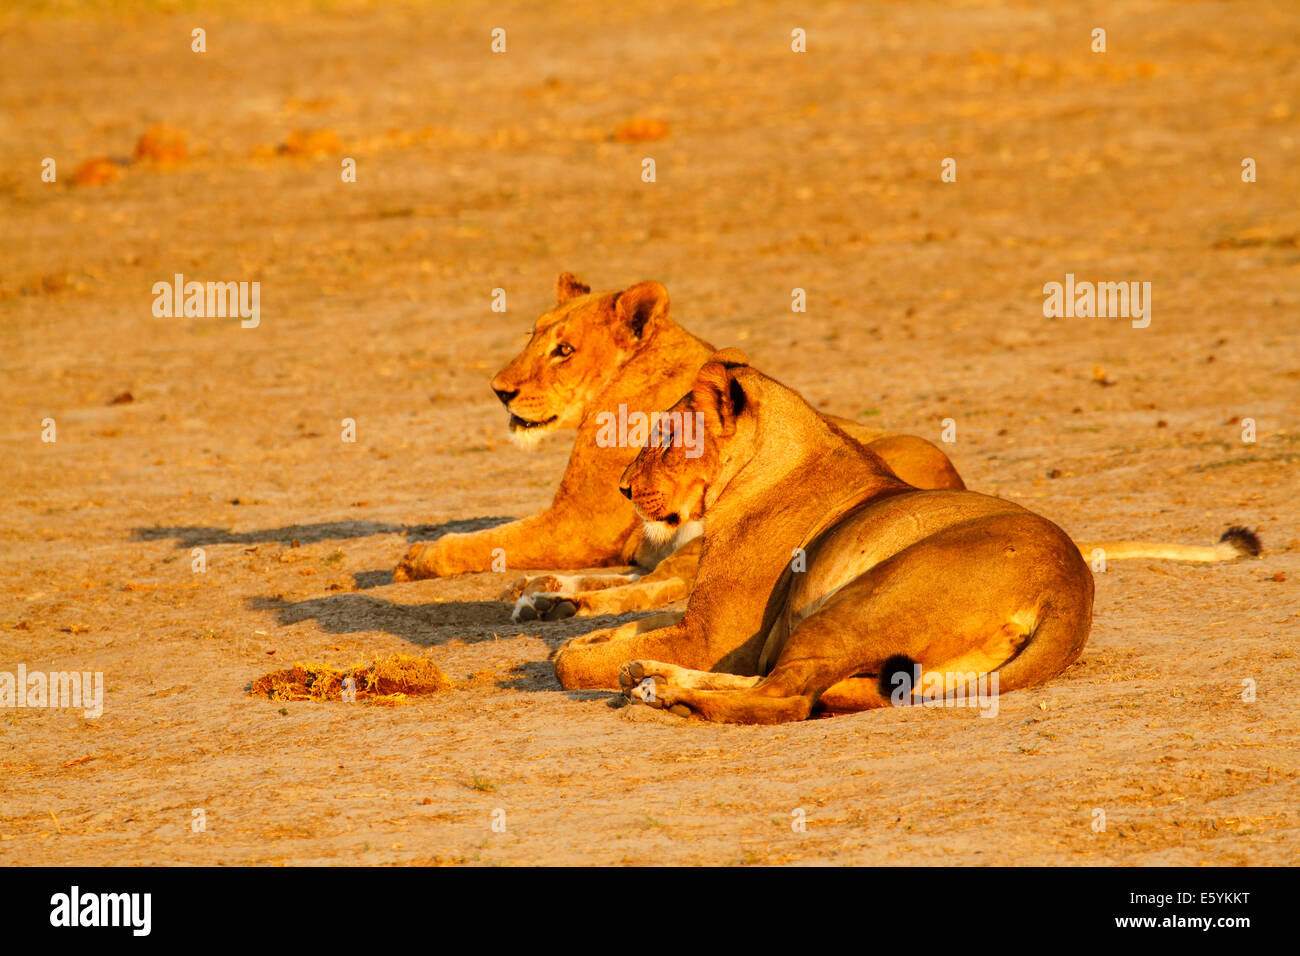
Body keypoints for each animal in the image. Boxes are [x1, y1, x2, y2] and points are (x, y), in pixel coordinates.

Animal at [392, 274, 964, 598]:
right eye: (532, 336)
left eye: (565, 351)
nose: (499, 391)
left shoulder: (576, 526)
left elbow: (487, 539)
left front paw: (418, 559)